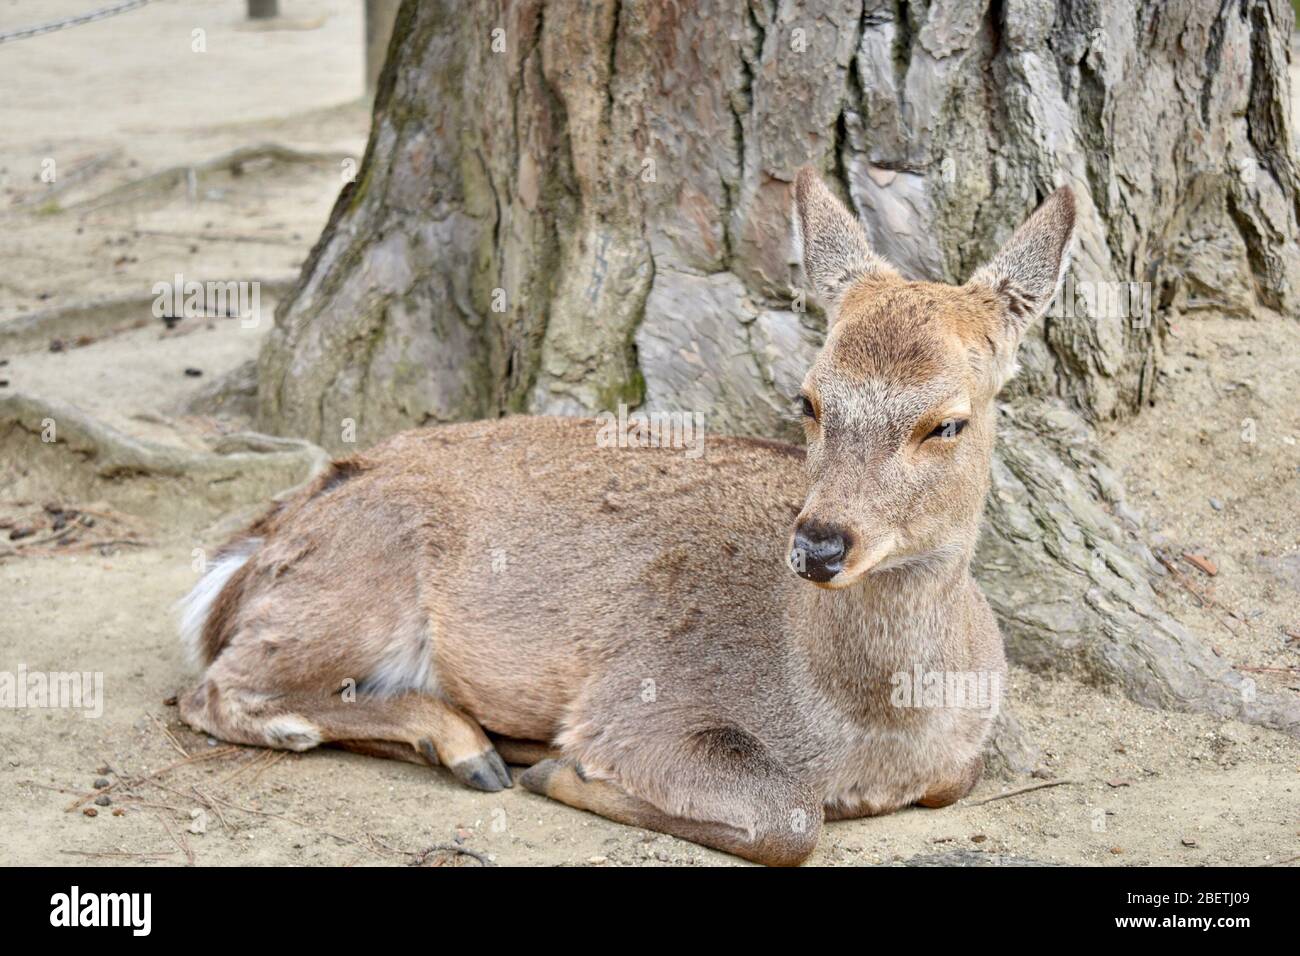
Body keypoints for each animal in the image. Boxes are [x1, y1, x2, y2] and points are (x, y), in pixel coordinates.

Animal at [177, 168, 1075, 865]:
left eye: (947, 422)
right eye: (810, 400)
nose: (819, 545)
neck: (873, 730)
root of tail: (253, 546)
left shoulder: (958, 758)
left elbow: (955, 782)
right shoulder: (643, 704)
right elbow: (789, 817)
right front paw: (560, 769)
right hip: (355, 584)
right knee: (217, 689)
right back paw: (470, 749)